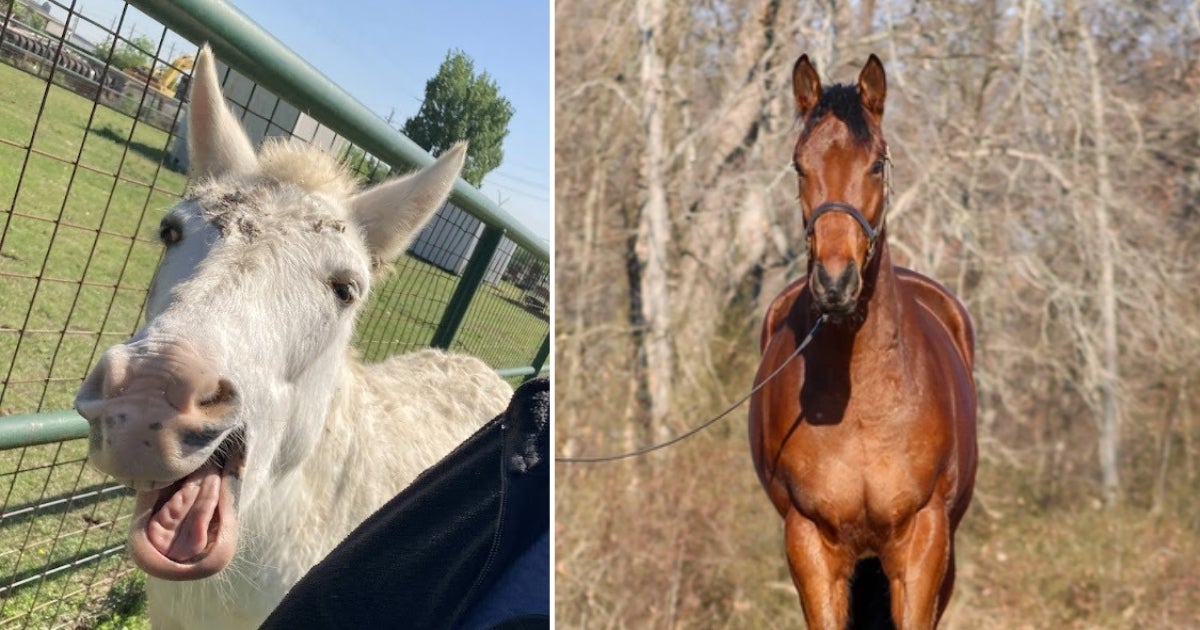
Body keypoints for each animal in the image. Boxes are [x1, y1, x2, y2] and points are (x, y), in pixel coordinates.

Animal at [748, 54, 977, 629]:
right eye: (798, 166)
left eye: (876, 164)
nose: (835, 283)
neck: (863, 406)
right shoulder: (809, 541)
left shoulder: (923, 541)